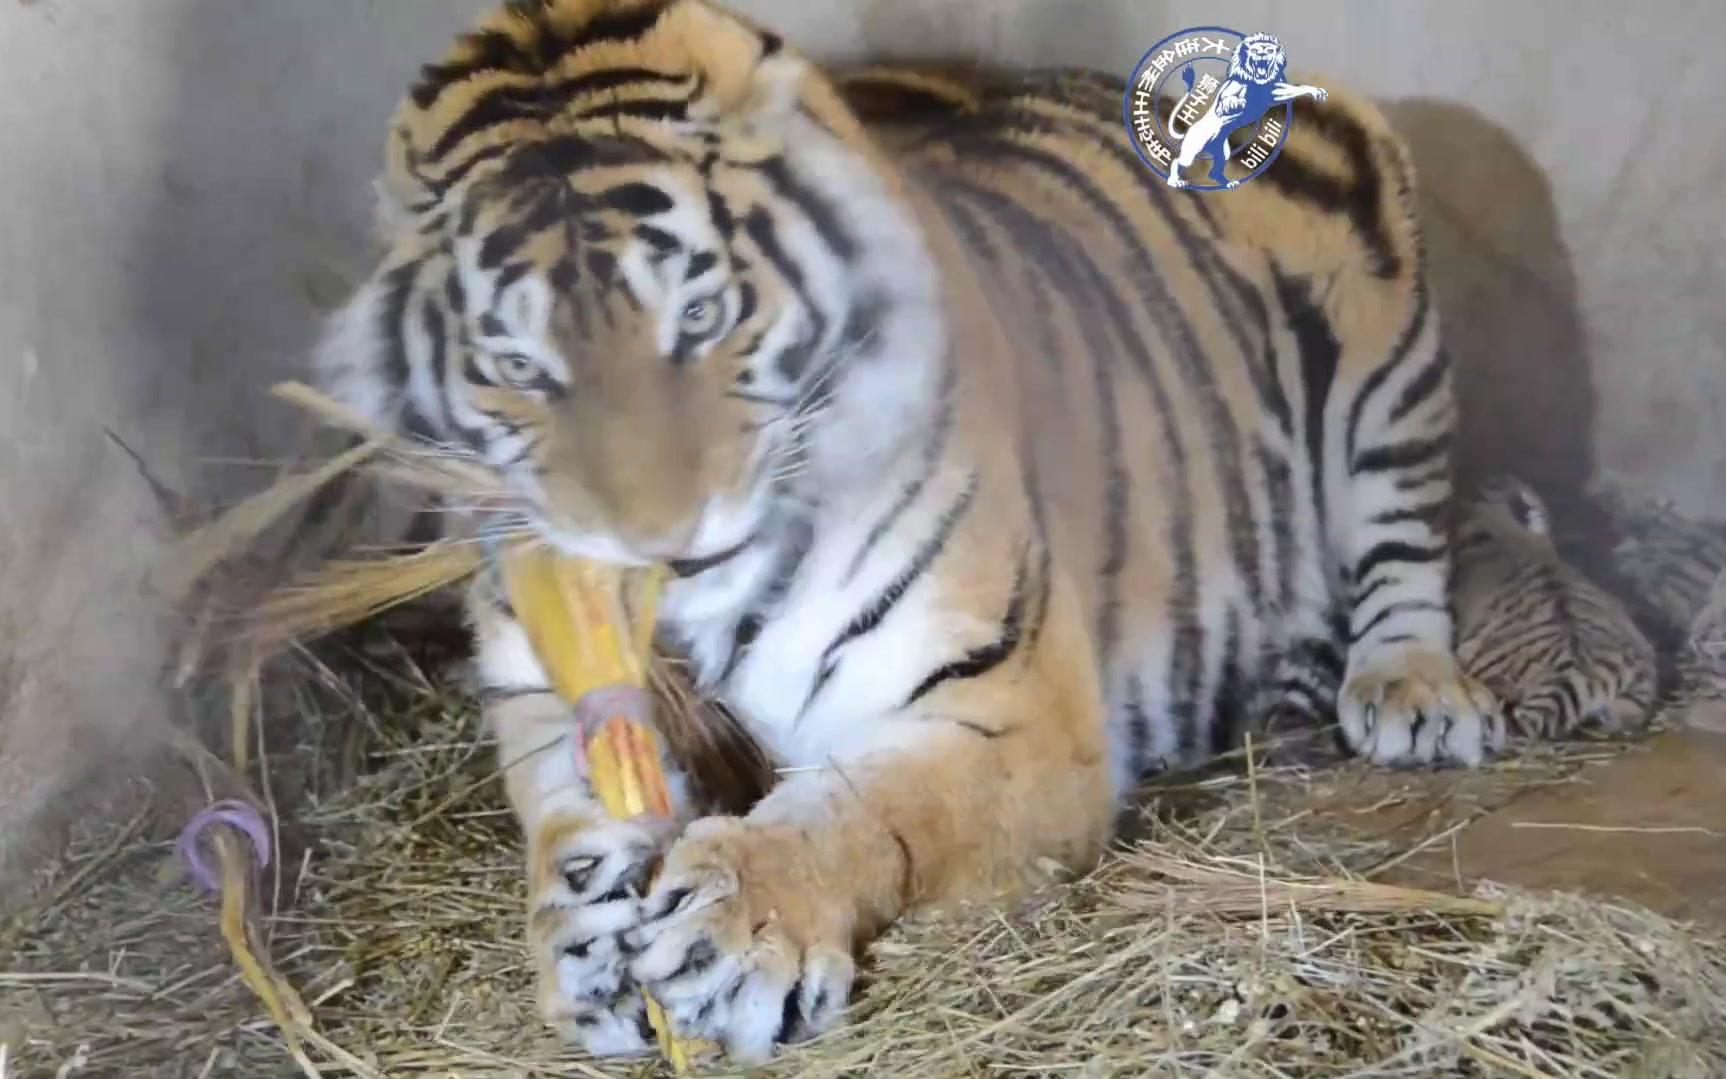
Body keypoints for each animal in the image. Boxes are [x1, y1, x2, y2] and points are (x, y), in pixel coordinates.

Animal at [311, 0, 1501, 1061]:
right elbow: (563, 824)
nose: (660, 548)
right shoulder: (541, 687)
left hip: (1379, 320)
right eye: (516, 364)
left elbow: (870, 804)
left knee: (1403, 546)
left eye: (700, 314)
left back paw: (1413, 696)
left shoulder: (1017, 715)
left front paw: (735, 928)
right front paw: (584, 946)